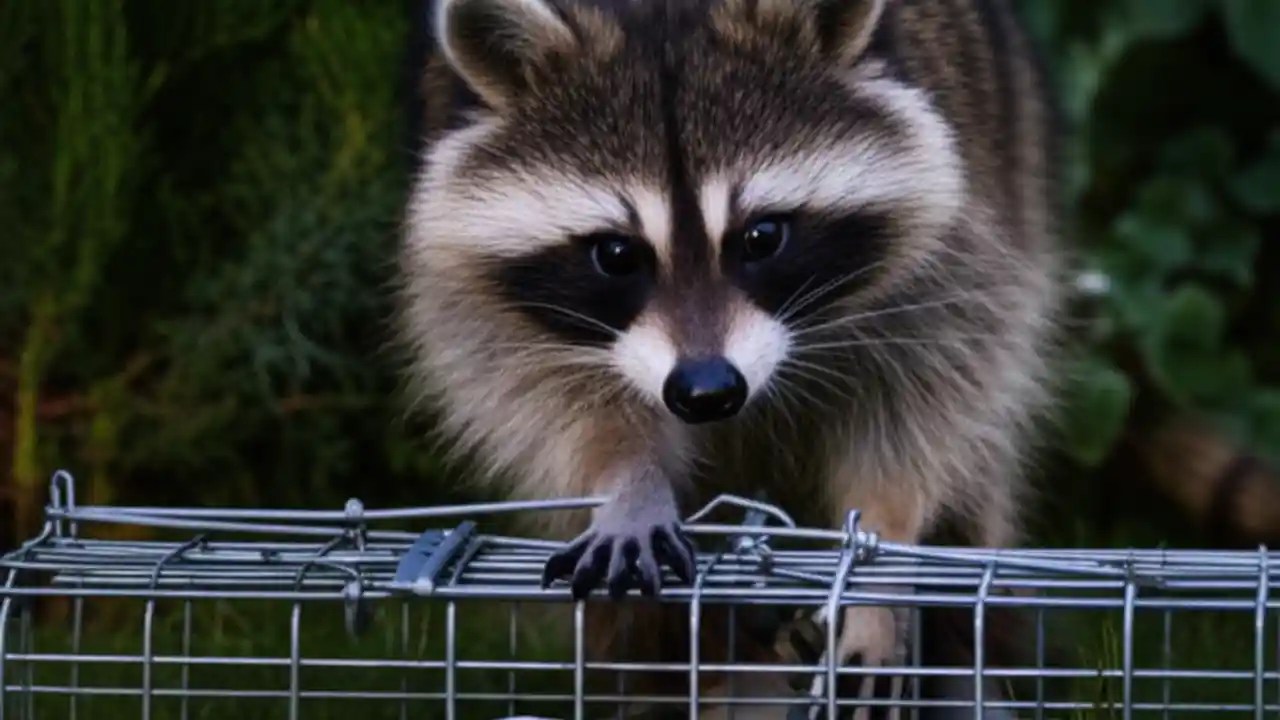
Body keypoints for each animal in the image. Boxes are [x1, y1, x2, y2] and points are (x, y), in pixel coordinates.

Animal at [400, 0, 1062, 715]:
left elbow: (930, 396)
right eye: (617, 254)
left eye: (762, 237)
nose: (707, 390)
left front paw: (880, 550)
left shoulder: (955, 248)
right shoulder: (489, 308)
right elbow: (548, 399)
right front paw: (628, 481)